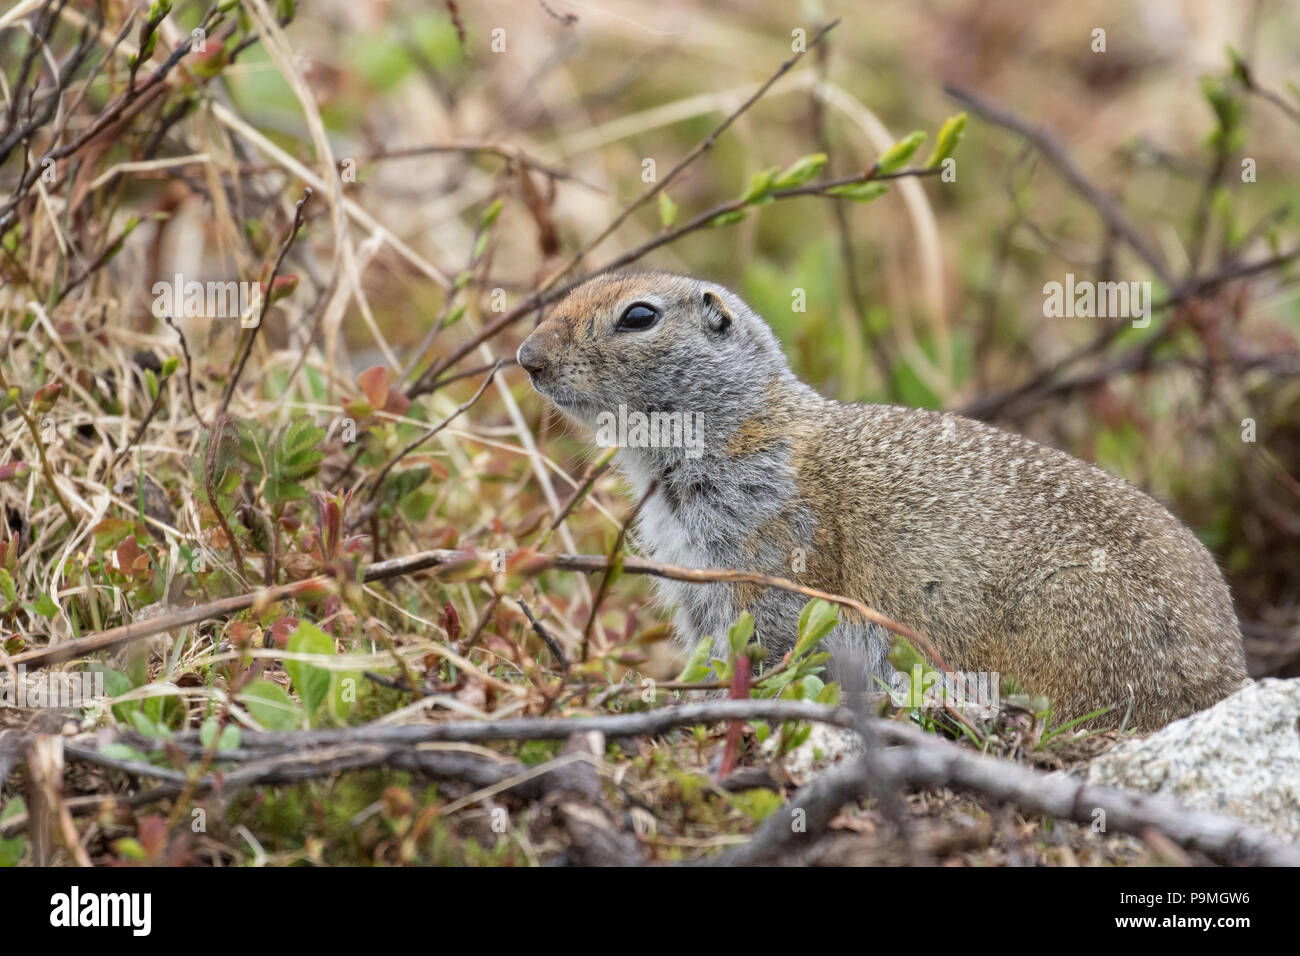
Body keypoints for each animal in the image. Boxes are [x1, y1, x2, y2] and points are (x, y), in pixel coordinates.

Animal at [517, 270, 1250, 730]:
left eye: (639, 316)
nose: (526, 356)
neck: (743, 426)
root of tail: (1228, 675)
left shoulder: (767, 553)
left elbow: (765, 637)